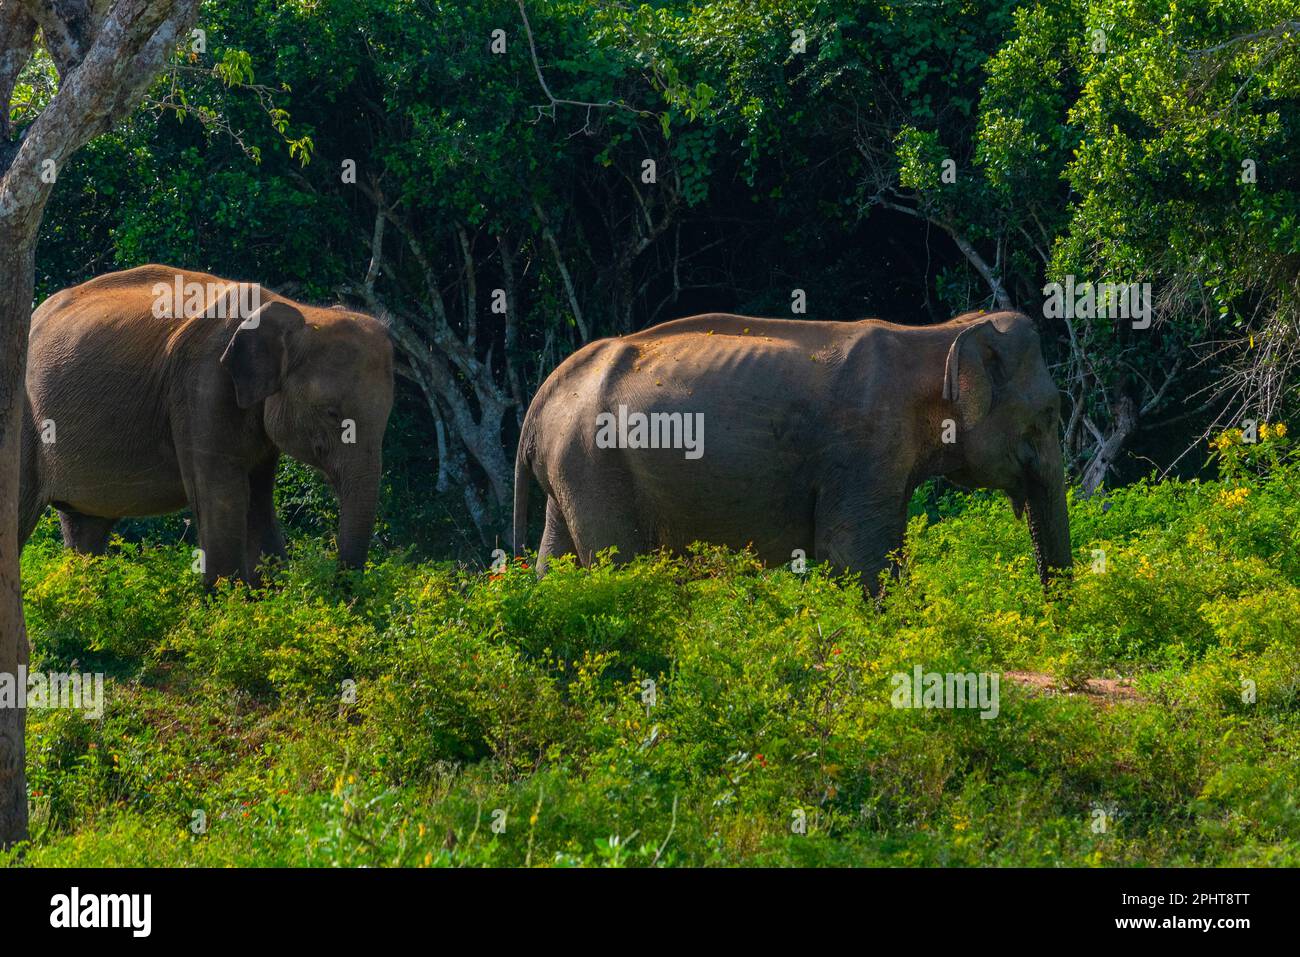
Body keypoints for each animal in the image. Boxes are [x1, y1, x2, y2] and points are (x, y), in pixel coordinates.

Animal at [18, 264, 395, 586]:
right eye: (331, 413)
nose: (338, 586)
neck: (295, 310)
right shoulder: (202, 384)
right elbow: (223, 496)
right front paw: (226, 603)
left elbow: (258, 499)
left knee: (87, 527)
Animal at [512, 309, 1071, 593]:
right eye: (1050, 413)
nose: (1047, 611)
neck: (938, 335)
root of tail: (539, 403)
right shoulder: (863, 446)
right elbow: (854, 557)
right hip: (594, 464)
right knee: (619, 567)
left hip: (571, 470)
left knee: (555, 564)